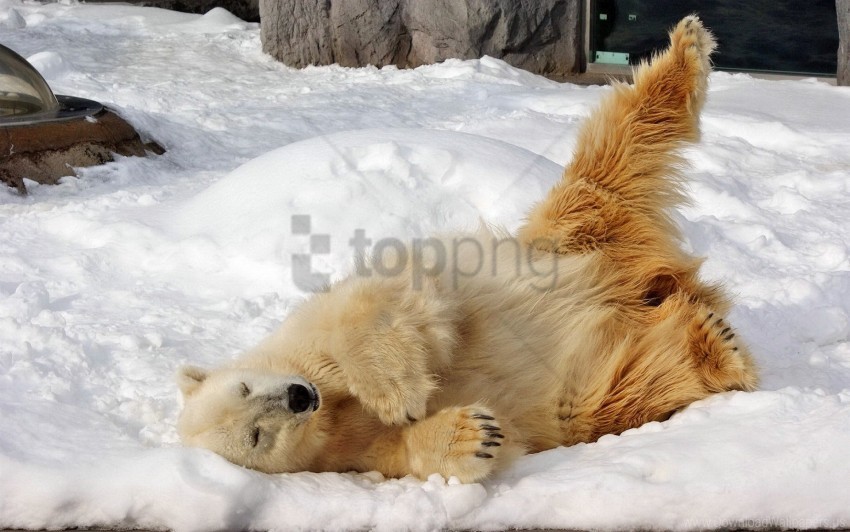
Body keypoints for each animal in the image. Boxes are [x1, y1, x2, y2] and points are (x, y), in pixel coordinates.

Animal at [176, 16, 758, 484]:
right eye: (255, 435)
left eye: (244, 387)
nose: (297, 398)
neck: (329, 403)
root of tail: (651, 283)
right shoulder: (341, 453)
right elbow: (401, 451)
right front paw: (471, 434)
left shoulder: (316, 333)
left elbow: (378, 303)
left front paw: (399, 391)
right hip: (589, 376)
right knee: (634, 378)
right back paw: (714, 347)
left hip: (570, 236)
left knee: (613, 159)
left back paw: (686, 48)